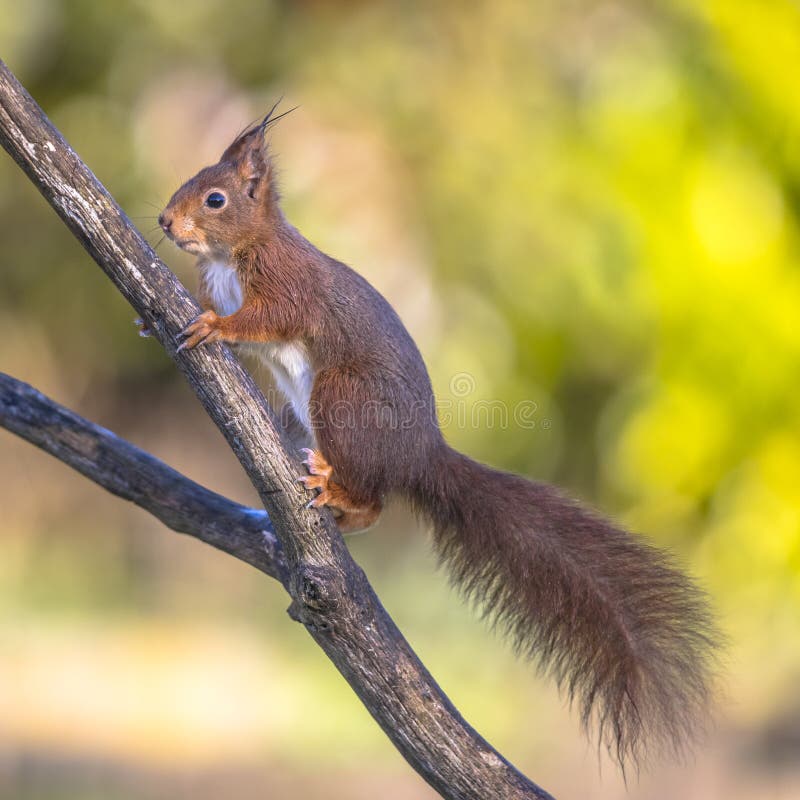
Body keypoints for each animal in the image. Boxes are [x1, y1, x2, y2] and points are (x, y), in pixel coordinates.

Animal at [157, 106, 718, 768]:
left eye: (215, 198)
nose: (164, 222)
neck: (233, 254)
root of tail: (421, 455)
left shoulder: (288, 288)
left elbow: (265, 320)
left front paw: (215, 326)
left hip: (343, 398)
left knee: (374, 498)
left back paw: (335, 489)